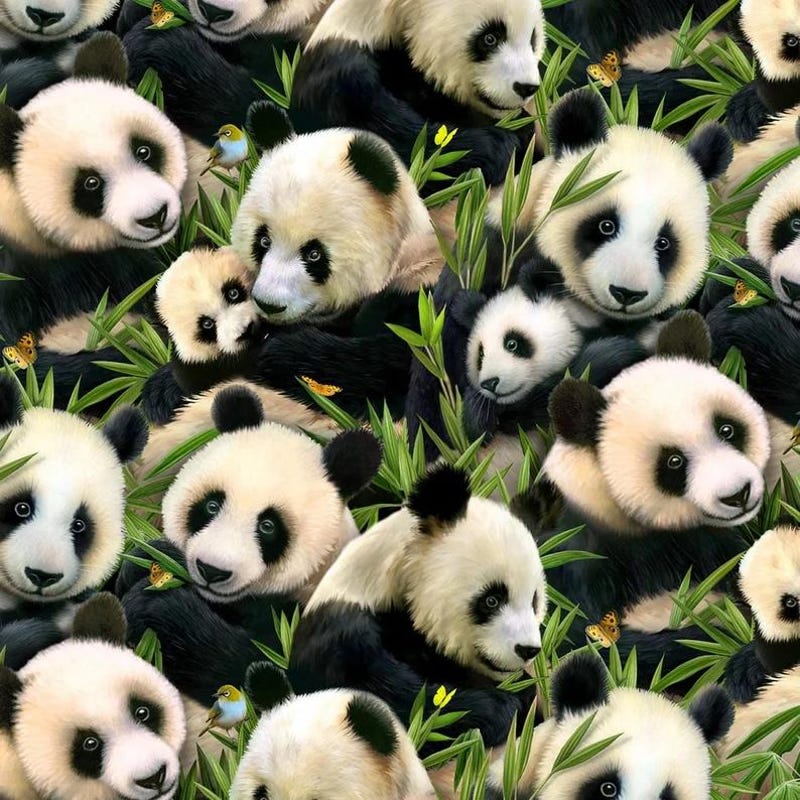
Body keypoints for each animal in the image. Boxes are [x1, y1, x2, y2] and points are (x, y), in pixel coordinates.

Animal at [289, 463, 547, 752]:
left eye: (534, 601)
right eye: (492, 599)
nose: (528, 649)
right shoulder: (342, 634)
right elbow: (399, 705)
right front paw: (505, 707)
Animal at [290, 0, 545, 189]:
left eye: (532, 39)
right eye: (490, 38)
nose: (527, 87)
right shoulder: (340, 81)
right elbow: (401, 150)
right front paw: (503, 145)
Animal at [518, 311, 770, 685]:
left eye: (727, 429)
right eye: (673, 462)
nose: (738, 494)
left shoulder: (703, 541)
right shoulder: (568, 557)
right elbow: (589, 648)